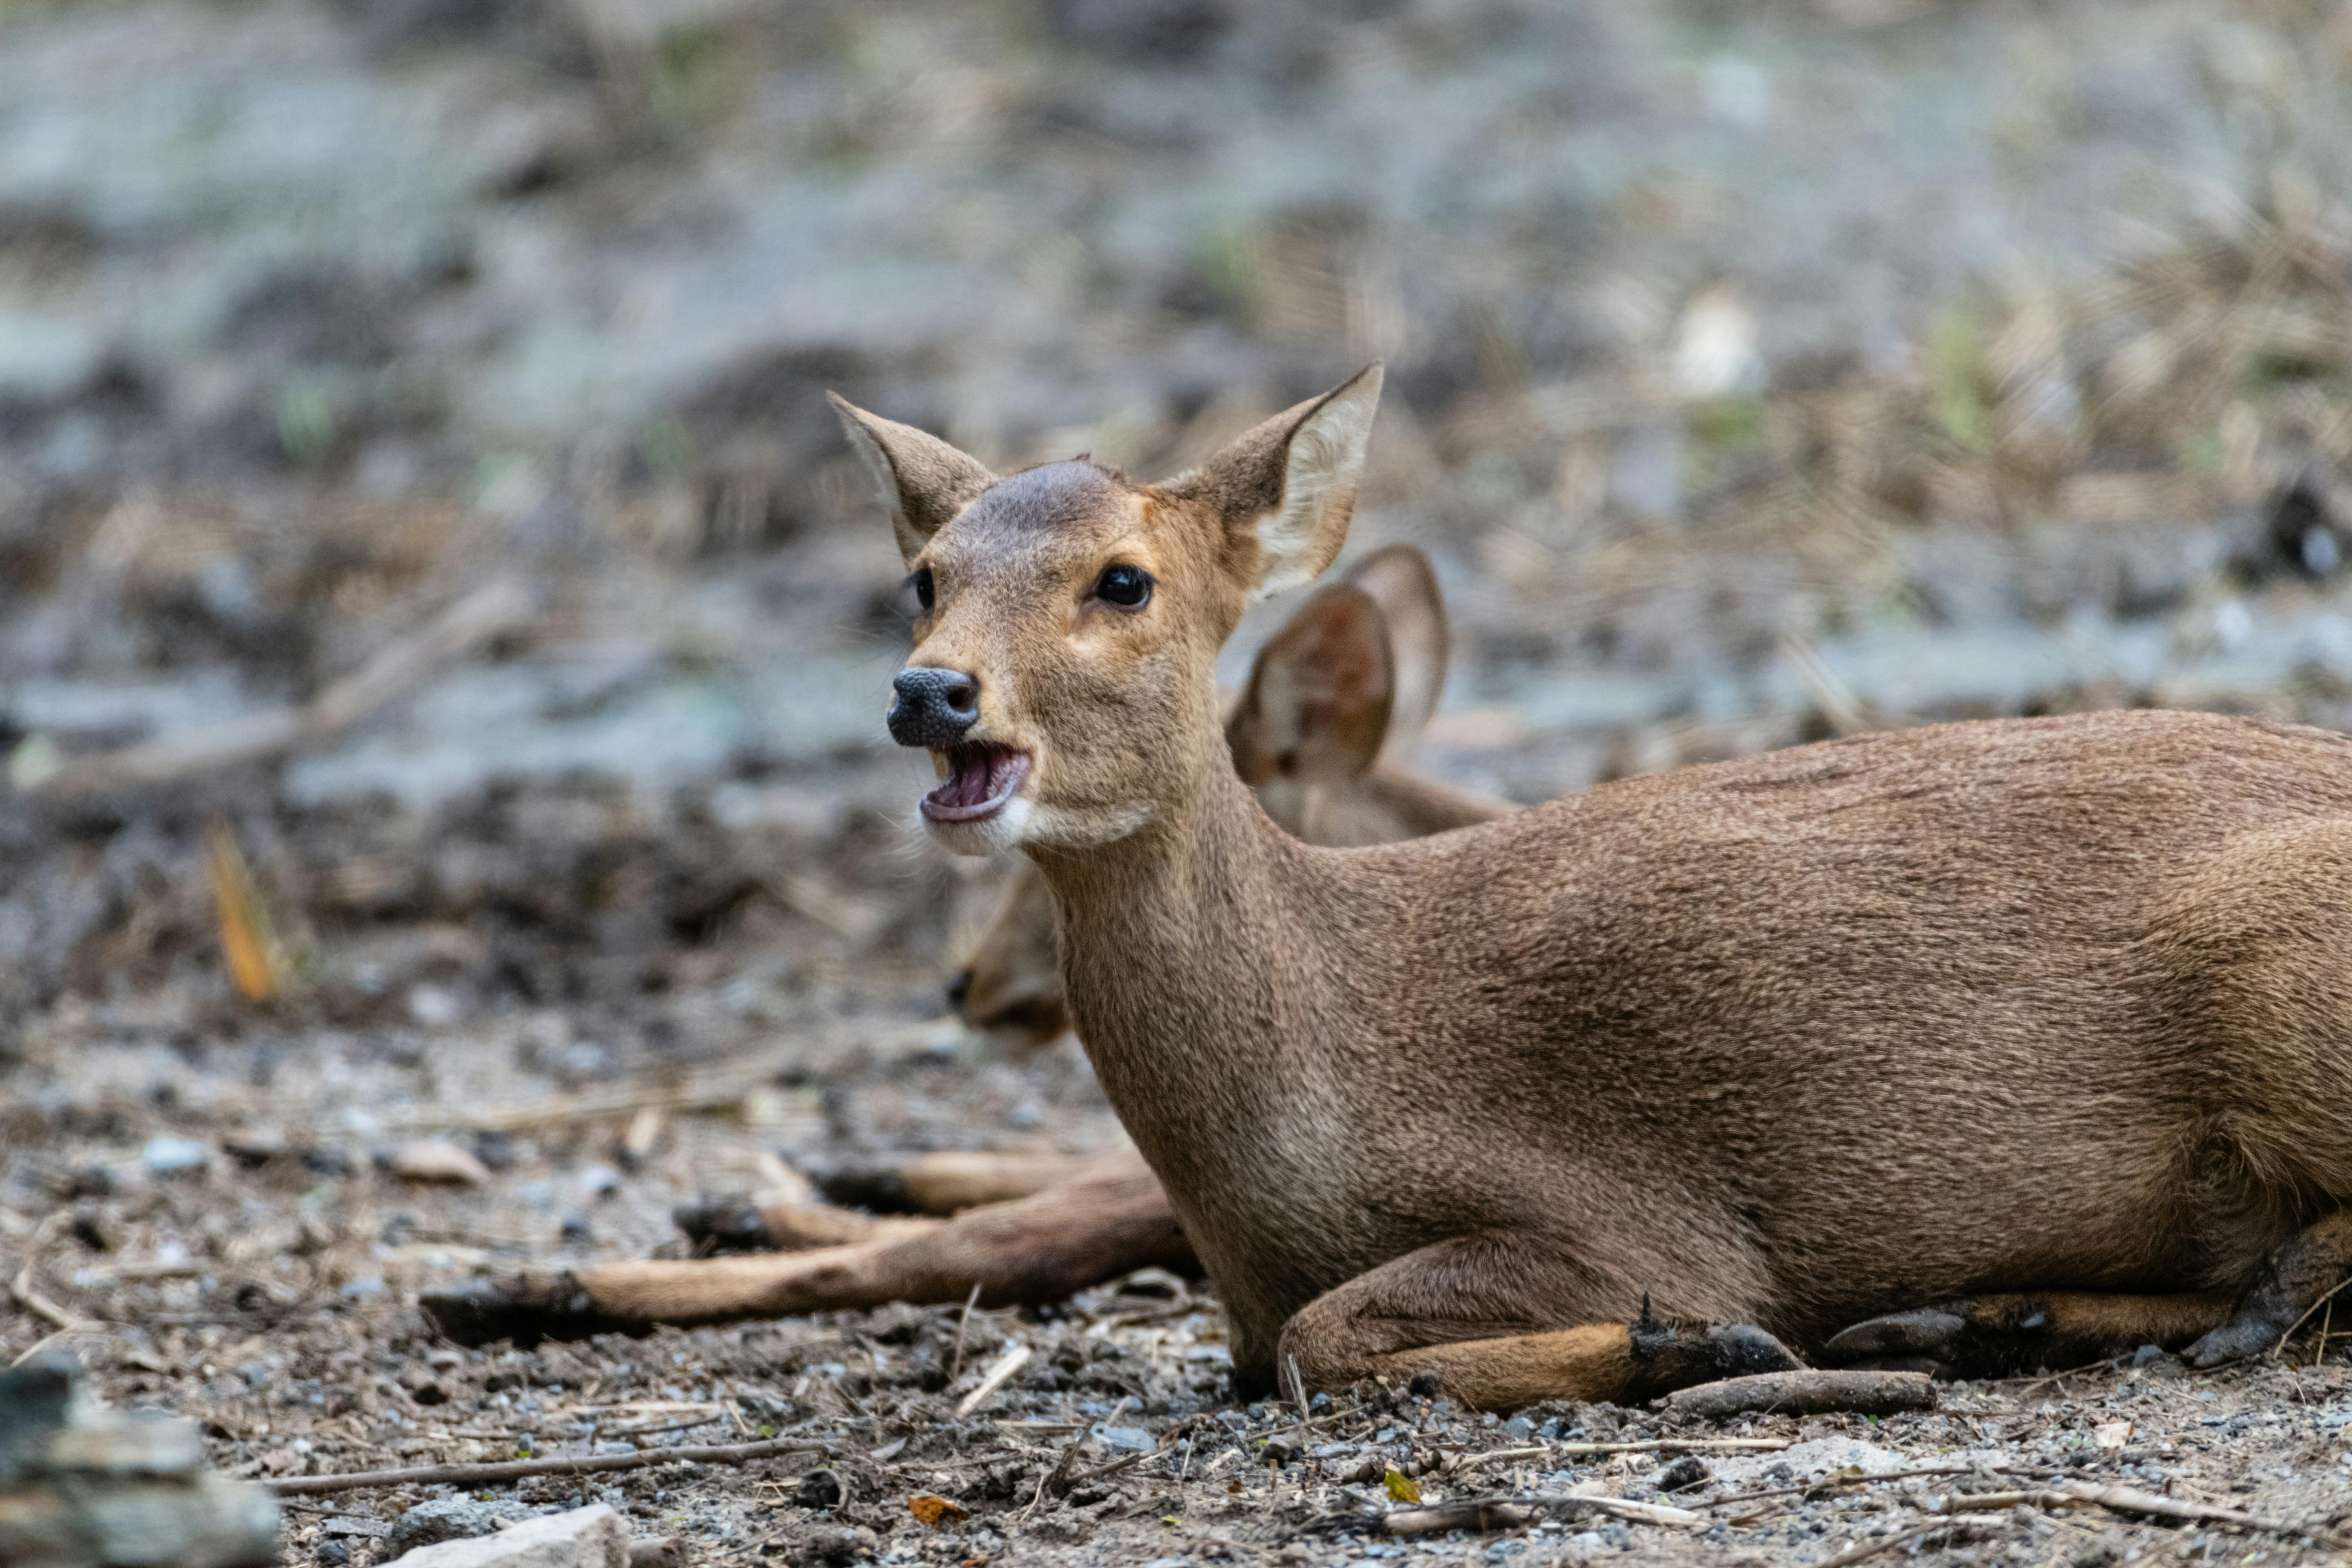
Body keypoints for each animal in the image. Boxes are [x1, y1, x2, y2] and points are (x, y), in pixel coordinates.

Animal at [805, 363, 2352, 1410]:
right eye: (923, 577)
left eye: (1123, 580)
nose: (930, 690)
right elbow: (1297, 1343)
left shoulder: (1623, 1210)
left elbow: (1328, 1338)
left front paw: (1688, 1339)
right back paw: (1978, 1320)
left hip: (2275, 974)